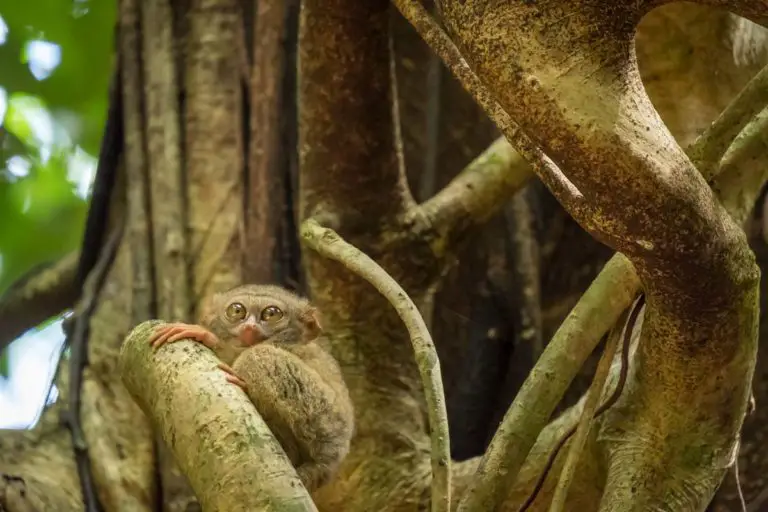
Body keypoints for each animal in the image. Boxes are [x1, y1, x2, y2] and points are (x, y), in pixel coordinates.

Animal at [147, 284, 355, 492]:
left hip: (325, 423)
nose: (250, 327)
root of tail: (328, 466)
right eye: (237, 310)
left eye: (271, 314)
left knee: (256, 355)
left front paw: (206, 336)